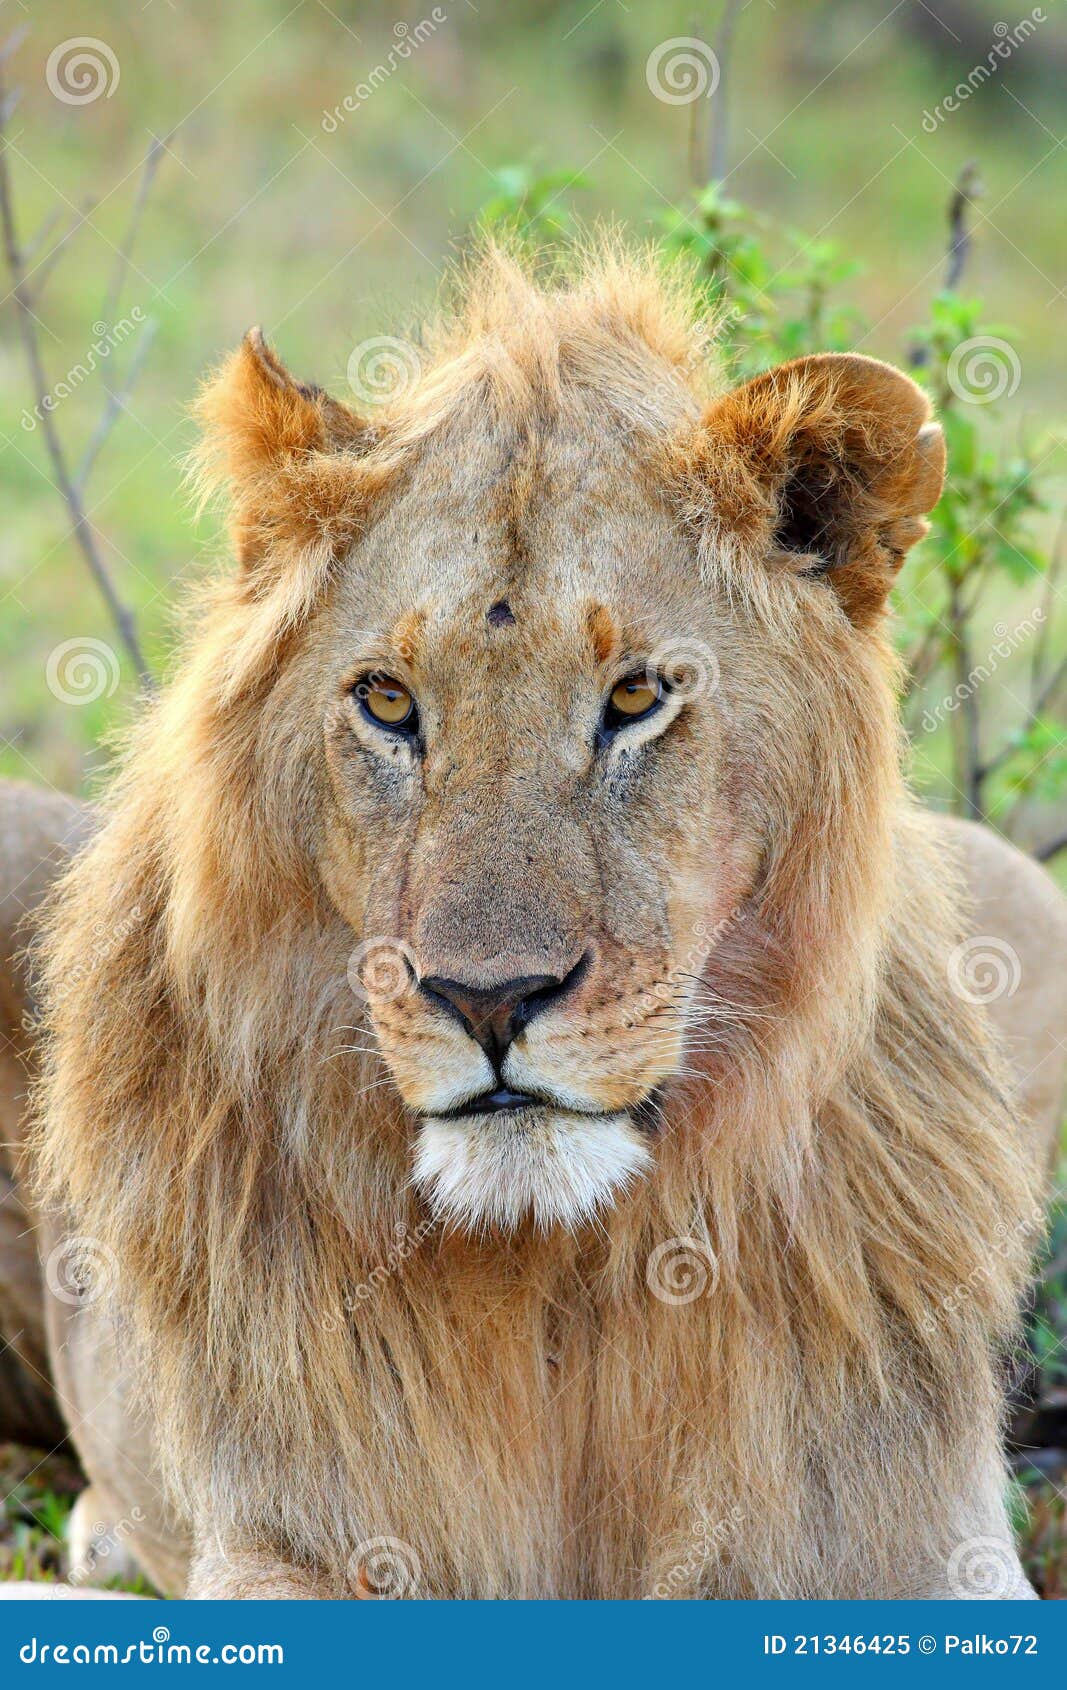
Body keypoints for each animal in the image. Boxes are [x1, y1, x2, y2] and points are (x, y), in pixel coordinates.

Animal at [0, 246, 1065, 1600]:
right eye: (387, 701)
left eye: (636, 696)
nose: (488, 999)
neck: (557, 1282)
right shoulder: (287, 1535)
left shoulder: (918, 1533)